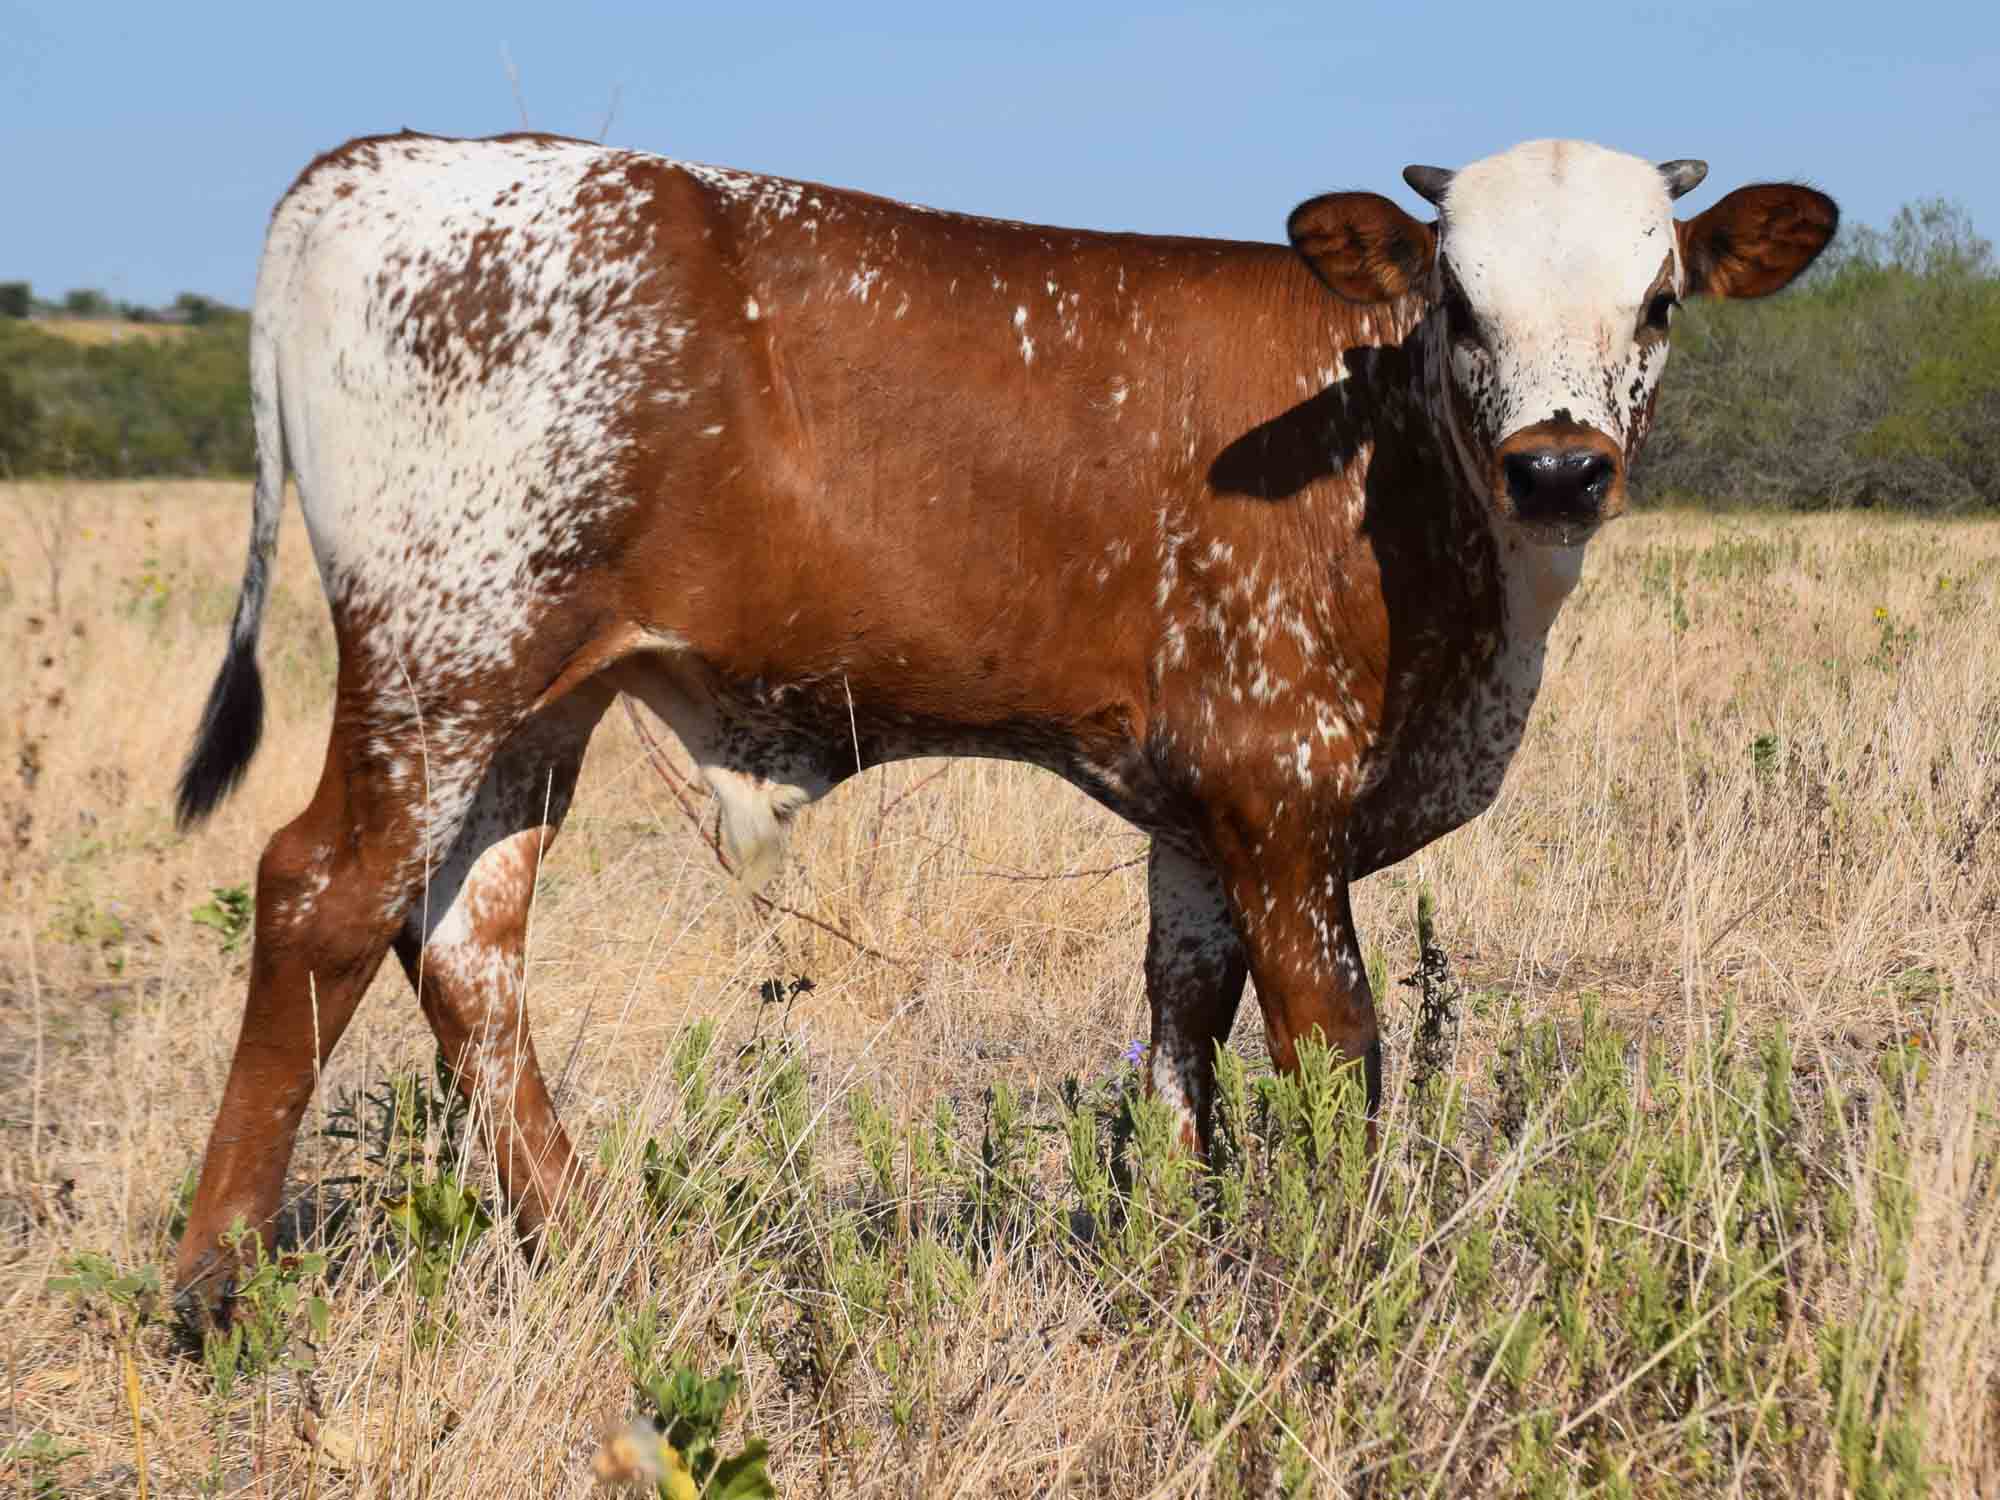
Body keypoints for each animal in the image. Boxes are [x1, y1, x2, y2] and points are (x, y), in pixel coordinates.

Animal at [169, 131, 1834, 1311]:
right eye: (1461, 304)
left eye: (1660, 301)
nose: (1560, 469)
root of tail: (386, 163)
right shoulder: (1283, 789)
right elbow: (1334, 1049)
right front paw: (1353, 1281)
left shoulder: (1198, 813)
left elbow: (1181, 1032)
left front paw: (1183, 1262)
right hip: (444, 654)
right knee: (323, 896)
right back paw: (216, 1283)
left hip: (536, 702)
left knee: (463, 941)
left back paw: (597, 1261)